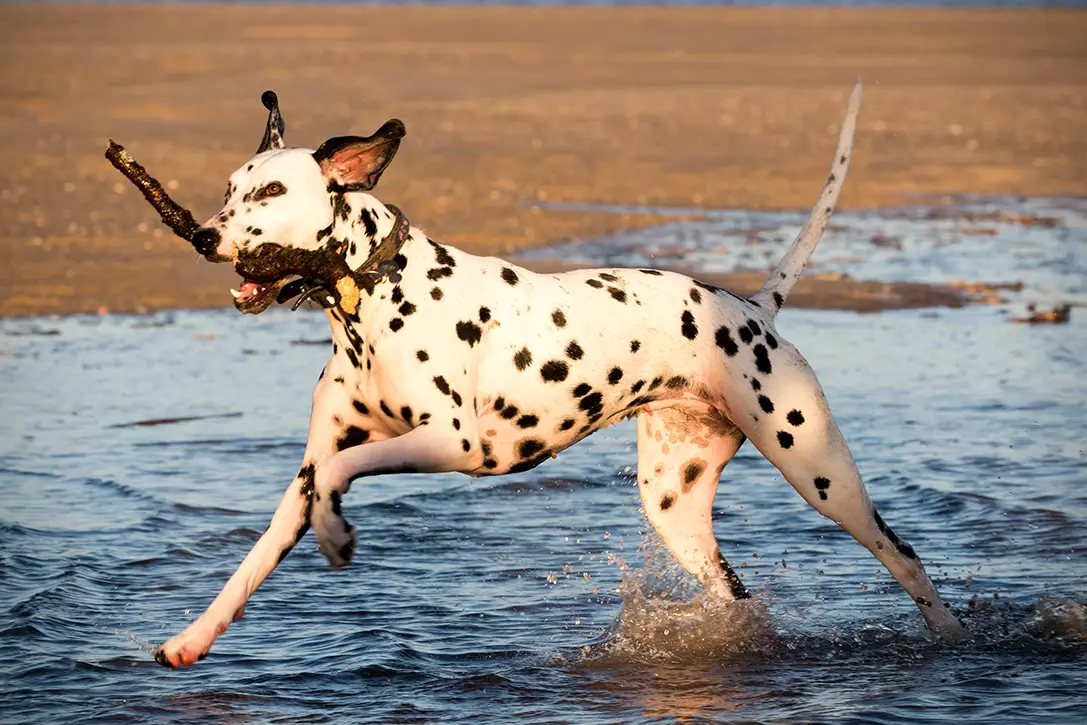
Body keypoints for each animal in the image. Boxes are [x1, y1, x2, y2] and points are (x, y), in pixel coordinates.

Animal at [153, 85, 969, 669]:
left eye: (270, 194)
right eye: (228, 190)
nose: (201, 235)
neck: (376, 302)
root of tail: (751, 307)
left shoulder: (457, 445)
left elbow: (339, 473)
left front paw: (334, 534)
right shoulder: (311, 468)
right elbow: (258, 554)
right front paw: (194, 637)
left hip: (822, 476)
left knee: (904, 557)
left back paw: (954, 639)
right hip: (673, 510)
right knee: (734, 595)